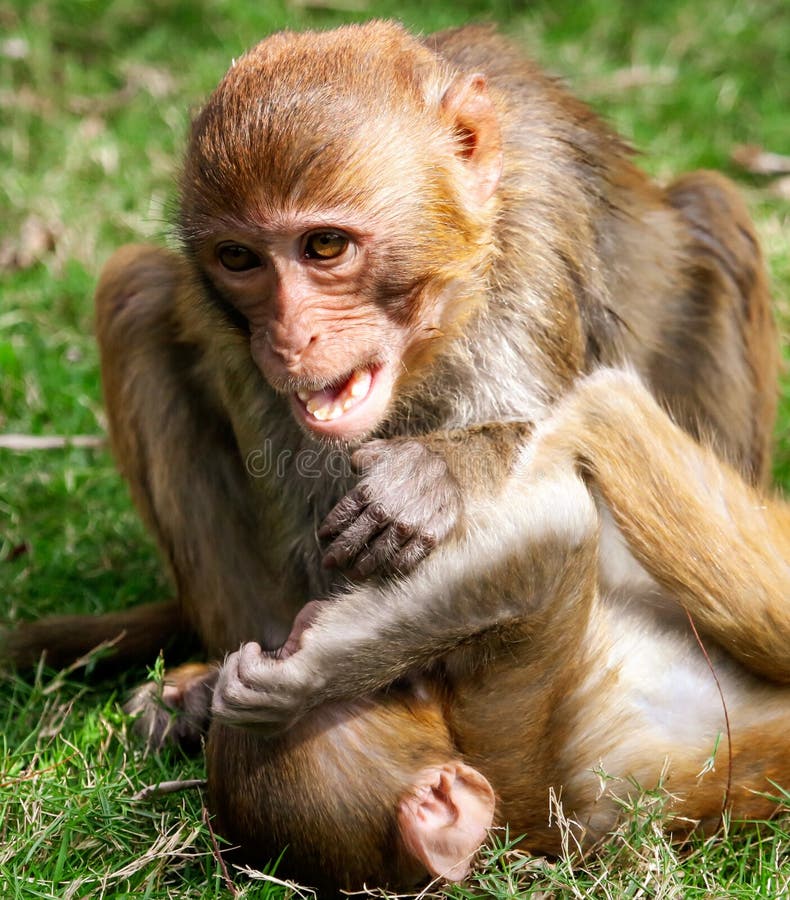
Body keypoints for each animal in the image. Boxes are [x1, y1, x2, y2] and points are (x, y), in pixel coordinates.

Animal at [0, 22, 778, 747]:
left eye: (324, 245)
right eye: (238, 258)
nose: (289, 337)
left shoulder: (538, 227)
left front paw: (433, 476)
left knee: (713, 212)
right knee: (134, 293)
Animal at [205, 368, 790, 894]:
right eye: (396, 691)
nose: (298, 626)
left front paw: (298, 676)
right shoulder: (508, 735)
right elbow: (555, 538)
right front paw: (302, 680)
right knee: (603, 418)